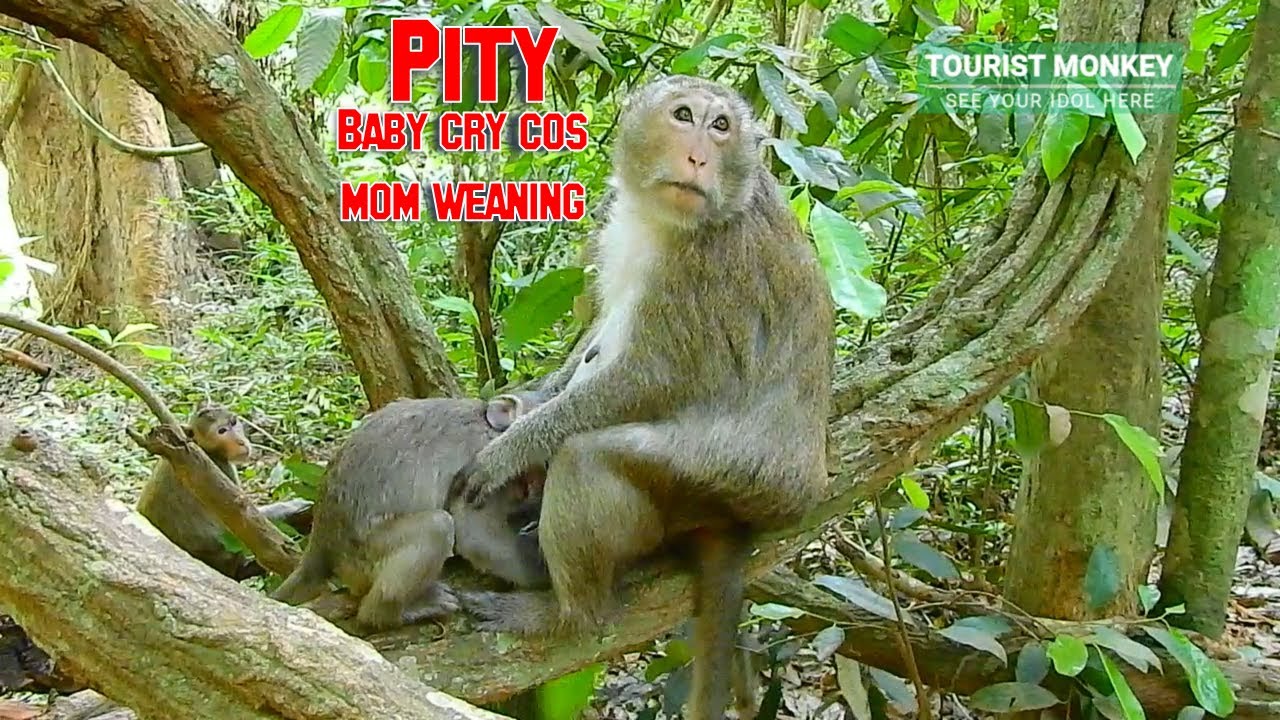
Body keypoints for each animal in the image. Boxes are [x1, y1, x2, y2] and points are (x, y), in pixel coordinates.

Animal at [269, 392, 552, 632]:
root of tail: (322, 538)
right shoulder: (484, 465)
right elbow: (474, 534)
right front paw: (540, 577)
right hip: (362, 557)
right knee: (436, 527)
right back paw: (387, 613)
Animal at [450, 75, 834, 720]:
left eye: (720, 126)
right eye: (684, 116)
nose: (699, 156)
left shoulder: (705, 268)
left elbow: (645, 379)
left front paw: (511, 450)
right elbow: (597, 338)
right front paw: (527, 401)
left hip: (720, 480)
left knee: (587, 459)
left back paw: (567, 615)